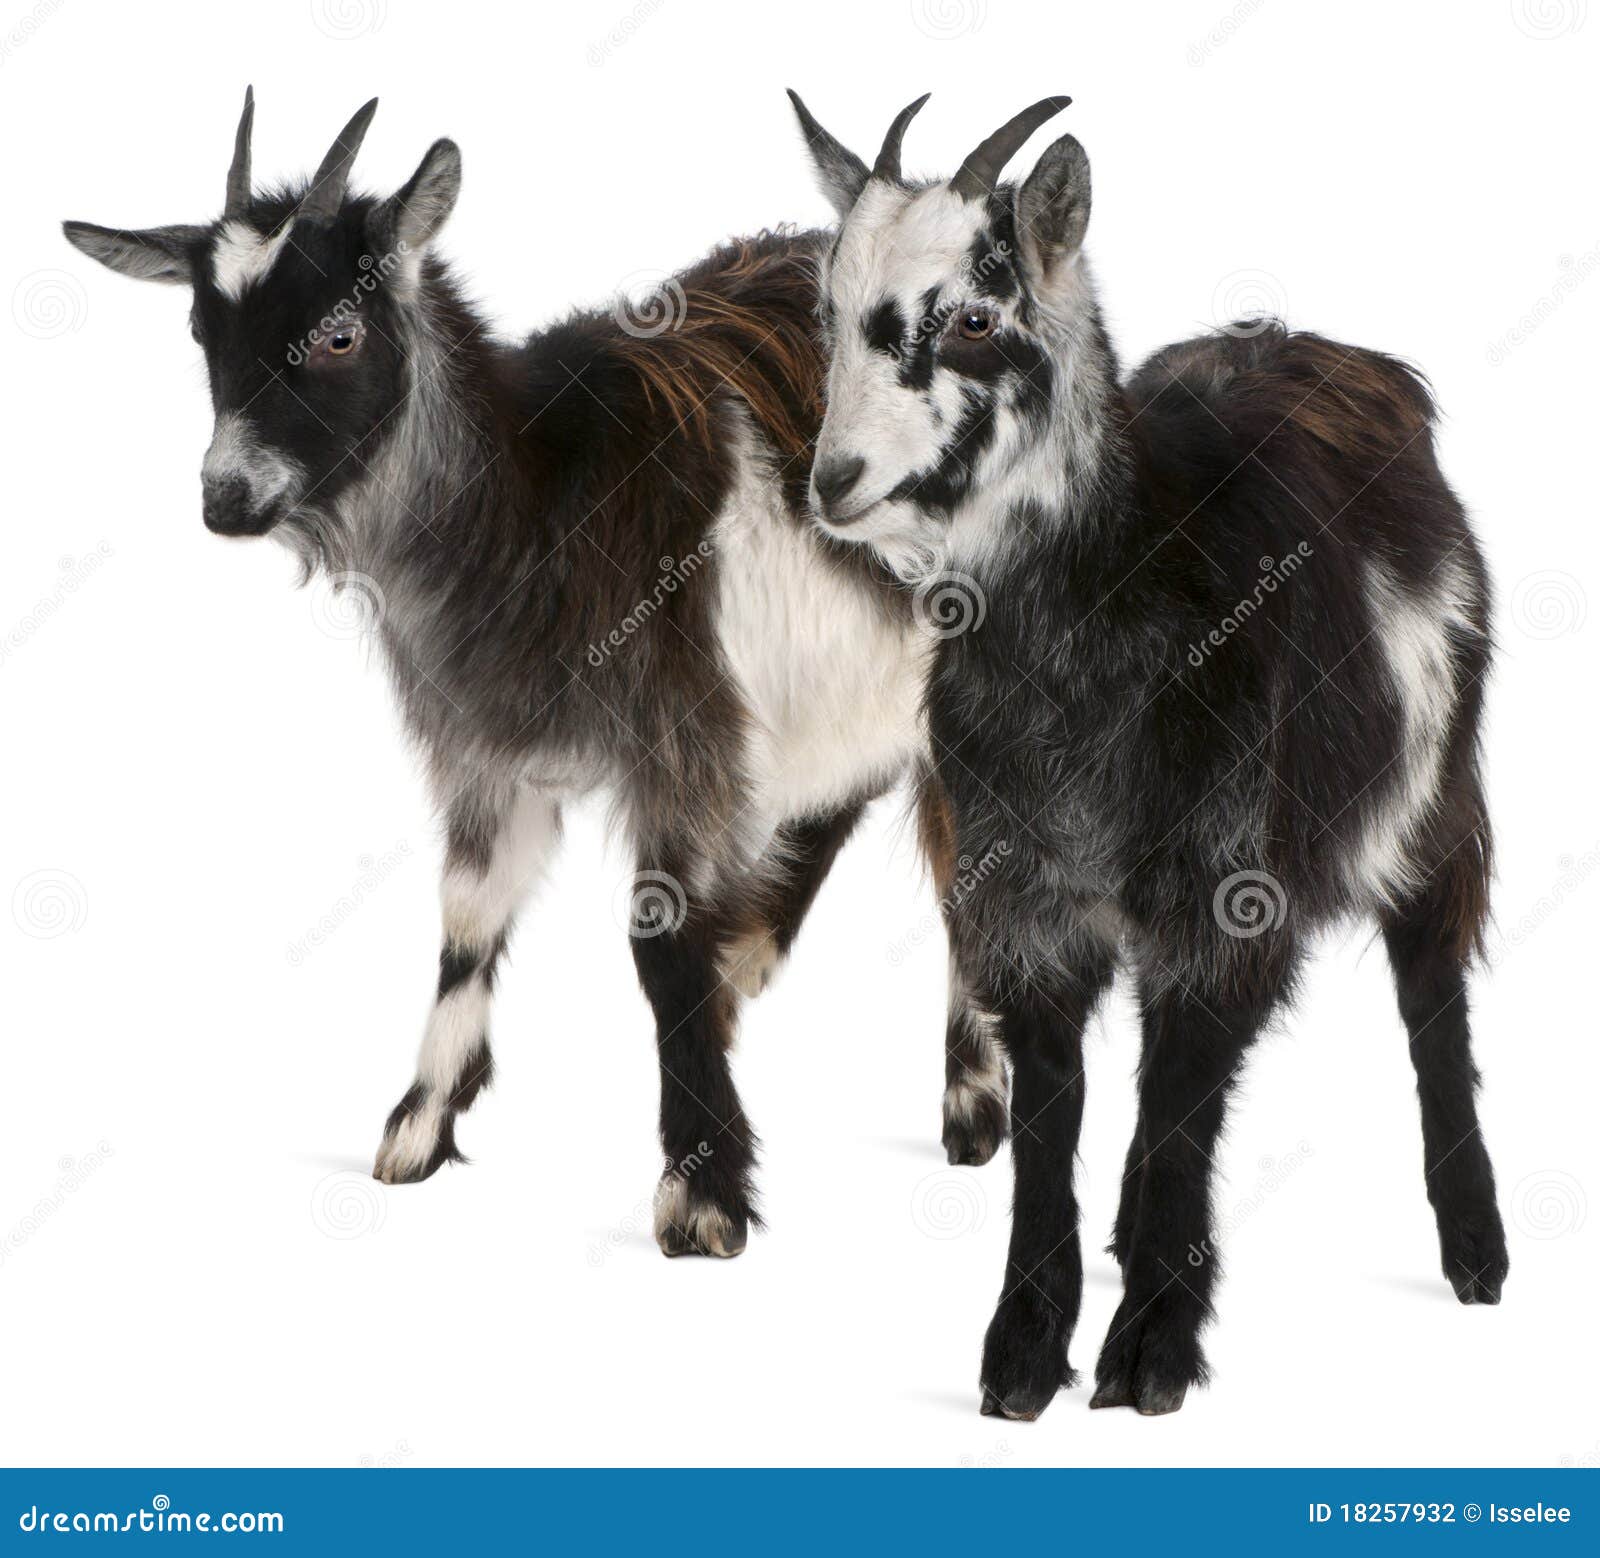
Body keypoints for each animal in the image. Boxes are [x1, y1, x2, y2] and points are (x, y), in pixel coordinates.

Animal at [62, 90, 1011, 1257]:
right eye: (204, 333)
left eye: (338, 333)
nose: (227, 497)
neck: (537, 500)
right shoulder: (486, 746)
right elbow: (468, 919)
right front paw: (419, 1125)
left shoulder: (681, 731)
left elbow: (659, 940)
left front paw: (701, 1193)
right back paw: (749, 955)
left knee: (964, 856)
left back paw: (971, 1099)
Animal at [791, 91, 1508, 1417]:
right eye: (827, 310)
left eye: (973, 318)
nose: (838, 479)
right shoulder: (1018, 892)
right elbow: (1055, 1113)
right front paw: (1025, 1351)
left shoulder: (1224, 887)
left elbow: (1179, 1102)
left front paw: (1151, 1349)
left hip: (1435, 785)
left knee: (1432, 974)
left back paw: (1477, 1250)